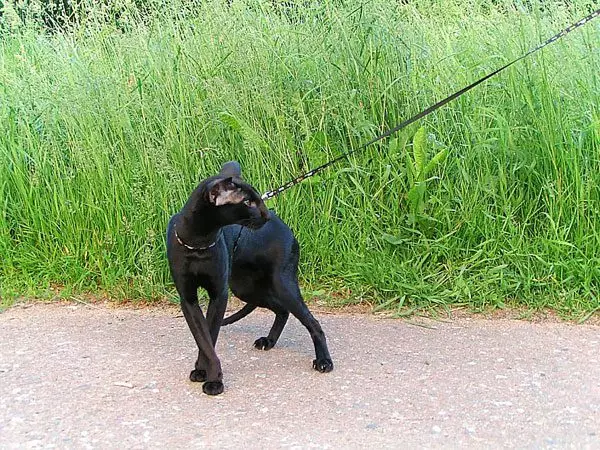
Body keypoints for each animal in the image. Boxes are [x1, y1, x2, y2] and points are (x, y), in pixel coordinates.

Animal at [168, 161, 332, 394]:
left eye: (256, 197)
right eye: (247, 201)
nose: (266, 215)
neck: (199, 242)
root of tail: (286, 227)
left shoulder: (219, 295)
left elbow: (210, 336)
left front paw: (214, 380)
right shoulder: (188, 299)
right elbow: (203, 339)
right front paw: (202, 371)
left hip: (281, 284)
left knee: (312, 322)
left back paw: (324, 361)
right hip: (245, 287)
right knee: (282, 310)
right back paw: (269, 341)